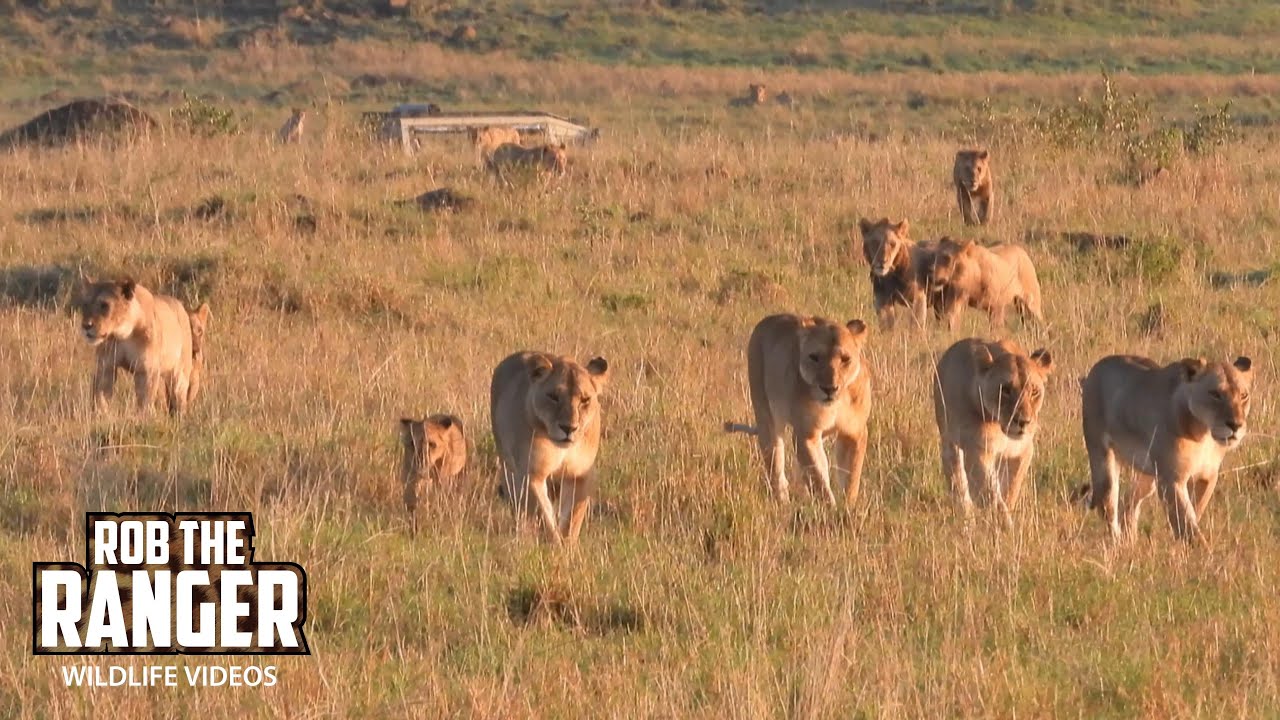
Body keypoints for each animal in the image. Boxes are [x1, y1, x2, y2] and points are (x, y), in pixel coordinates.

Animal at [77, 277, 202, 415]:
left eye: (105, 305)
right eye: (85, 305)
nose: (86, 326)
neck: (123, 335)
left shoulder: (147, 370)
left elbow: (145, 400)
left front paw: (143, 417)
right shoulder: (105, 366)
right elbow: (100, 396)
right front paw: (100, 414)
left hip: (180, 372)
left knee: (178, 395)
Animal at [490, 351, 610, 546]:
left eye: (585, 400)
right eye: (553, 396)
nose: (569, 428)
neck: (563, 449)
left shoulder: (582, 475)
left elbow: (573, 518)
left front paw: (568, 547)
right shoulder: (532, 475)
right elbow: (544, 516)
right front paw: (554, 545)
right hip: (508, 465)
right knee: (517, 503)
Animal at [724, 314, 871, 507]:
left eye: (845, 359)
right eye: (814, 357)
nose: (829, 389)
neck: (836, 403)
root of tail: (767, 320)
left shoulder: (855, 433)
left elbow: (851, 476)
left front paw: (848, 507)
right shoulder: (805, 434)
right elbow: (818, 477)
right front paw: (831, 508)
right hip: (766, 419)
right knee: (776, 467)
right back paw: (783, 503)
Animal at [933, 337, 1054, 522]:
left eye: (1034, 391)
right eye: (1006, 390)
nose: (1023, 422)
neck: (1000, 427)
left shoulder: (1024, 450)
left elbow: (1011, 489)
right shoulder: (977, 451)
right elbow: (992, 497)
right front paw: (1004, 525)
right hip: (949, 443)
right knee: (958, 481)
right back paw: (966, 517)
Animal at [1081, 354, 1253, 543]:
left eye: (1244, 396)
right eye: (1215, 394)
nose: (1236, 425)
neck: (1204, 435)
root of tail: (1097, 366)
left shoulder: (1208, 476)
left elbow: (1194, 512)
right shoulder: (1171, 480)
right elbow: (1187, 522)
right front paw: (1199, 549)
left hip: (1149, 477)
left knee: (1129, 501)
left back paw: (1131, 541)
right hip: (1103, 460)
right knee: (1109, 504)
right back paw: (1119, 544)